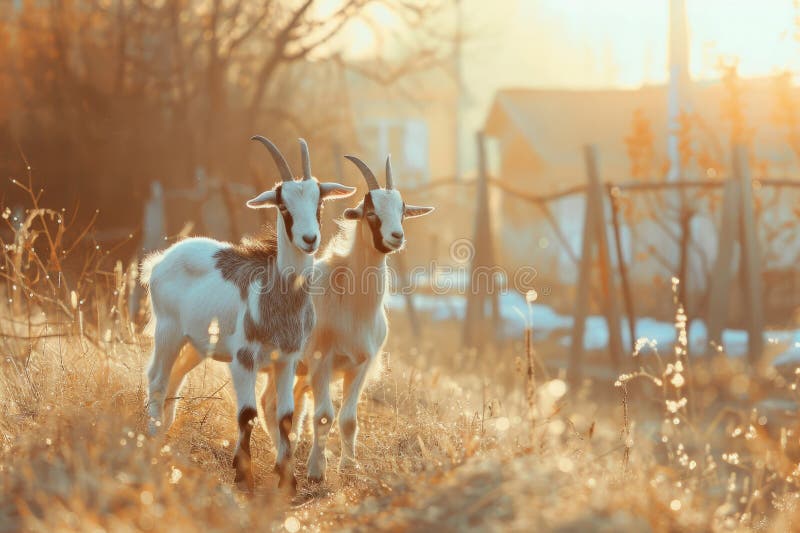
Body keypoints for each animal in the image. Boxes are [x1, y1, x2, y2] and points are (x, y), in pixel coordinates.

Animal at [140, 137, 355, 491]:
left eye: (319, 204)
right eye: (284, 207)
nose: (310, 239)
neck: (278, 298)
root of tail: (160, 261)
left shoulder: (286, 360)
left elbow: (284, 416)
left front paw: (287, 480)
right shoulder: (244, 360)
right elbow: (247, 414)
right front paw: (244, 476)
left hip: (196, 344)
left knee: (174, 380)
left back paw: (162, 433)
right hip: (167, 332)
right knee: (157, 379)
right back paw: (152, 436)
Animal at [261, 154, 434, 482]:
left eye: (402, 211)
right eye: (372, 213)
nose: (397, 236)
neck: (352, 303)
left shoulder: (361, 365)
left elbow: (349, 419)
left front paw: (349, 467)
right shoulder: (322, 362)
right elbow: (324, 416)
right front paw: (316, 471)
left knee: (283, 402)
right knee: (272, 404)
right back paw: (282, 455)